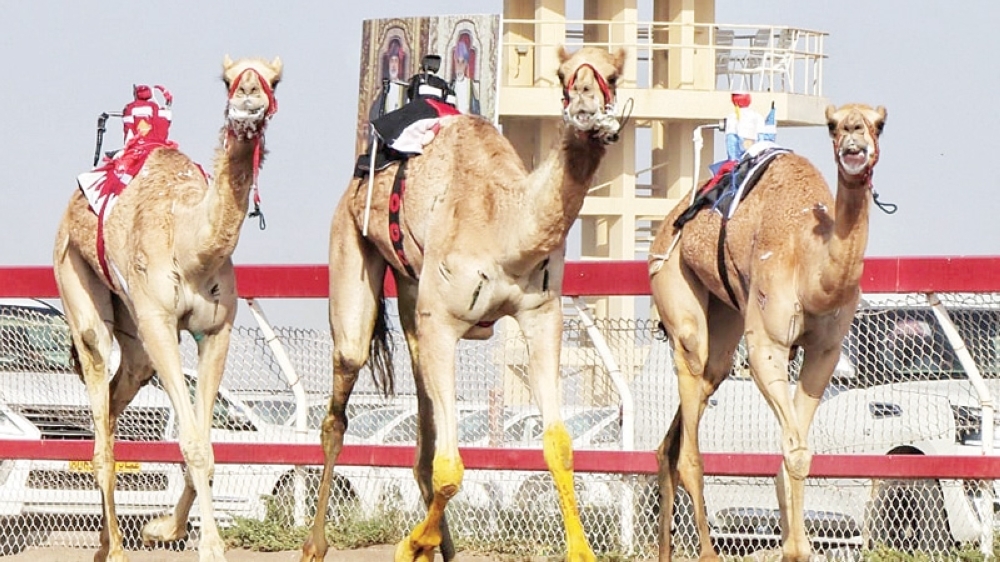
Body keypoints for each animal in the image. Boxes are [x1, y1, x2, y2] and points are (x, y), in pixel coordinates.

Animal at [52, 55, 282, 562]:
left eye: (276, 80)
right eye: (228, 78)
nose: (249, 97)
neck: (192, 246)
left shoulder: (216, 330)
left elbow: (207, 445)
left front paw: (164, 529)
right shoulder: (160, 323)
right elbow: (193, 440)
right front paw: (210, 546)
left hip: (134, 338)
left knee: (116, 401)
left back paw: (105, 544)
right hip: (76, 282)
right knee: (98, 389)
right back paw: (116, 550)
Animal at [301, 46, 625, 562]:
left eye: (613, 74)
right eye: (562, 75)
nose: (586, 108)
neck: (504, 225)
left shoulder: (542, 317)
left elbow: (558, 445)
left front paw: (581, 552)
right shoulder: (444, 321)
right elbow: (452, 468)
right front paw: (409, 545)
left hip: (412, 295)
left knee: (423, 439)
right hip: (351, 249)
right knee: (342, 396)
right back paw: (316, 545)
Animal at [647, 103, 887, 561]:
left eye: (879, 123)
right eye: (833, 124)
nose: (854, 134)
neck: (811, 265)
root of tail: (669, 220)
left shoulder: (825, 352)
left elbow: (797, 451)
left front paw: (798, 545)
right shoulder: (767, 347)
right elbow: (794, 450)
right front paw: (793, 550)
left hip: (725, 320)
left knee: (677, 432)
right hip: (673, 284)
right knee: (689, 447)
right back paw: (707, 552)